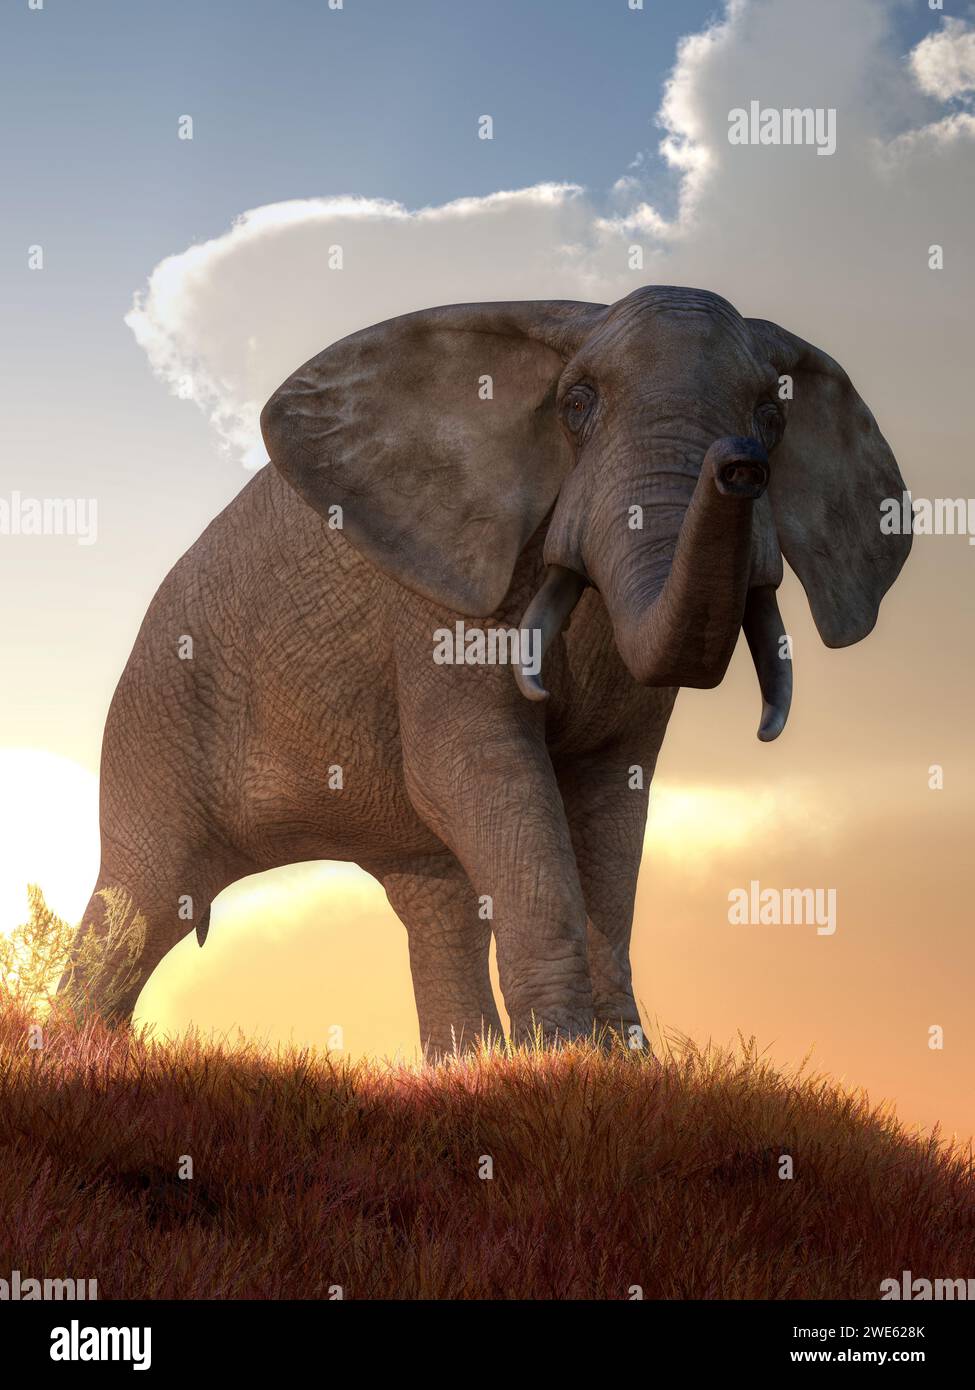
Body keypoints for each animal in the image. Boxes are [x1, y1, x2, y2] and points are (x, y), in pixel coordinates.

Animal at [62, 285, 911, 1058]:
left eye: (771, 416)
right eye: (576, 404)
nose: (738, 466)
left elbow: (609, 799)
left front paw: (624, 1068)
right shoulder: (438, 592)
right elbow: (480, 768)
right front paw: (567, 1062)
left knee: (433, 897)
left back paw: (463, 1067)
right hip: (158, 713)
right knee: (147, 894)